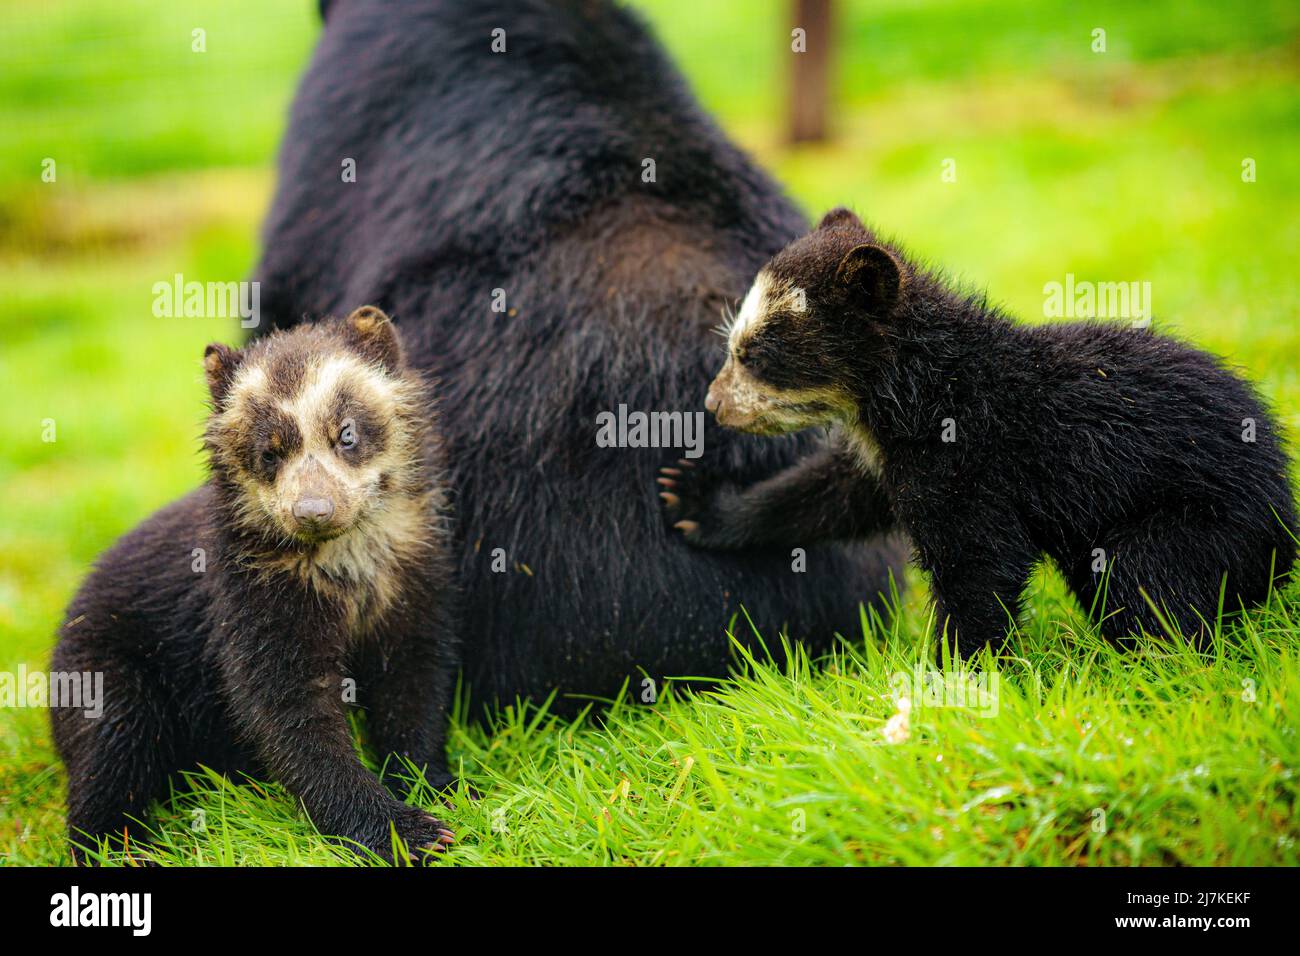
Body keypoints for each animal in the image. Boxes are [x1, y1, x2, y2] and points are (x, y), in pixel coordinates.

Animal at [51, 307, 460, 862]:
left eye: (347, 434)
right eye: (269, 453)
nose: (314, 510)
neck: (344, 563)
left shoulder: (411, 576)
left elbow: (414, 684)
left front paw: (437, 787)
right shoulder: (254, 593)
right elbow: (289, 712)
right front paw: (405, 832)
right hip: (101, 665)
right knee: (111, 746)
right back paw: (120, 848)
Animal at [660, 208, 1298, 656]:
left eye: (757, 354)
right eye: (735, 347)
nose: (714, 403)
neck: (911, 390)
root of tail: (1284, 519)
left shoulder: (967, 457)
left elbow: (979, 565)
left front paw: (953, 688)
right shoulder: (893, 453)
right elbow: (832, 496)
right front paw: (695, 502)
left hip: (1198, 524)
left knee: (1145, 581)